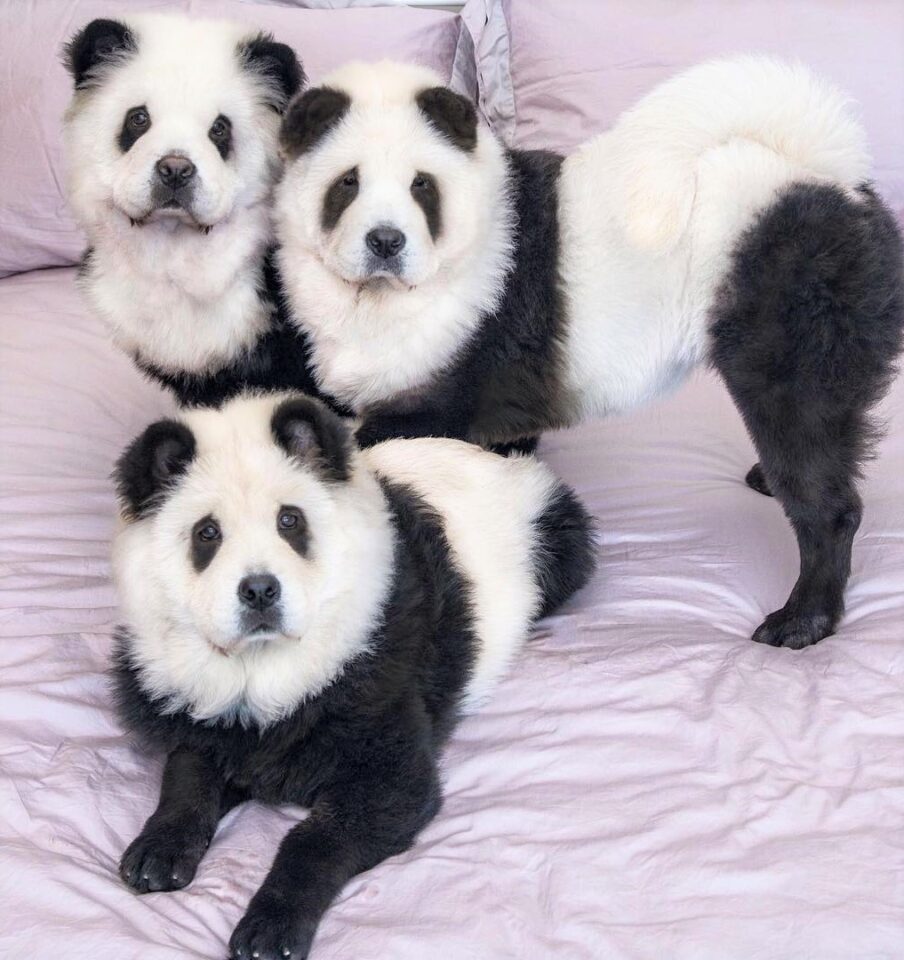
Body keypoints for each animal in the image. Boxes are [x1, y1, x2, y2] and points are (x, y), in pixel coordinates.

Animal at [111, 391, 595, 960]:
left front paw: (271, 926)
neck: (269, 663)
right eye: (207, 534)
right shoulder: (206, 701)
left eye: (290, 521)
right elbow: (191, 767)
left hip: (548, 530)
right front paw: (158, 850)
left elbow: (354, 814)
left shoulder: (376, 674)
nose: (259, 591)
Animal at [273, 58, 904, 650]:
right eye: (347, 183)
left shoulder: (454, 354)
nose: (386, 241)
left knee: (808, 445)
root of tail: (829, 175)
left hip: (789, 299)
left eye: (421, 186)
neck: (382, 295)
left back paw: (801, 617)